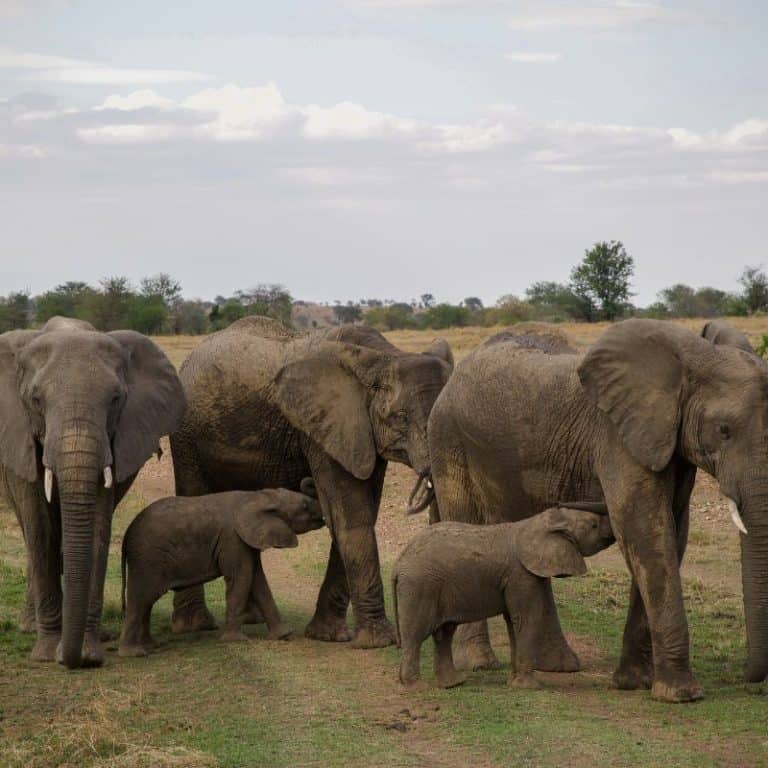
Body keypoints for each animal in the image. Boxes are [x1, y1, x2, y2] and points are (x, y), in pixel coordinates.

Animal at [0, 316, 185, 668]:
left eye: (115, 399)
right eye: (36, 401)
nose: (67, 659)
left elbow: (98, 530)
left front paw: (87, 655)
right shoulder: (21, 434)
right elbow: (40, 531)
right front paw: (47, 654)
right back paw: (31, 627)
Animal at [119, 481, 324, 656]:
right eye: (305, 506)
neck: (259, 496)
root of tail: (127, 534)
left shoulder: (246, 540)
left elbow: (258, 580)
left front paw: (283, 635)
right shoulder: (232, 539)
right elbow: (241, 577)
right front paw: (236, 641)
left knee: (146, 602)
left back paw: (151, 646)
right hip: (147, 560)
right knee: (141, 599)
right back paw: (134, 653)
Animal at [169, 317, 453, 648]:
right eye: (401, 417)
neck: (383, 356)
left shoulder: (357, 434)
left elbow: (359, 513)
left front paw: (327, 635)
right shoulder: (324, 428)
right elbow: (351, 518)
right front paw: (379, 642)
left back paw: (250, 619)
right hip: (186, 437)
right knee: (191, 497)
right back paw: (196, 626)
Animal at [393, 503, 614, 689]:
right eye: (593, 525)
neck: (538, 523)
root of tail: (399, 561)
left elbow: (513, 622)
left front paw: (513, 682)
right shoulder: (521, 575)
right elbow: (527, 618)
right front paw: (528, 687)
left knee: (444, 632)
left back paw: (452, 684)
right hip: (419, 586)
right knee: (416, 633)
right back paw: (417, 686)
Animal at [427, 318, 768, 702]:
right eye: (724, 430)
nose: (744, 675)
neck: (695, 355)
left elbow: (671, 532)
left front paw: (632, 682)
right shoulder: (616, 437)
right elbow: (642, 527)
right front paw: (680, 695)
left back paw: (557, 665)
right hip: (448, 440)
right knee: (466, 521)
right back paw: (480, 663)